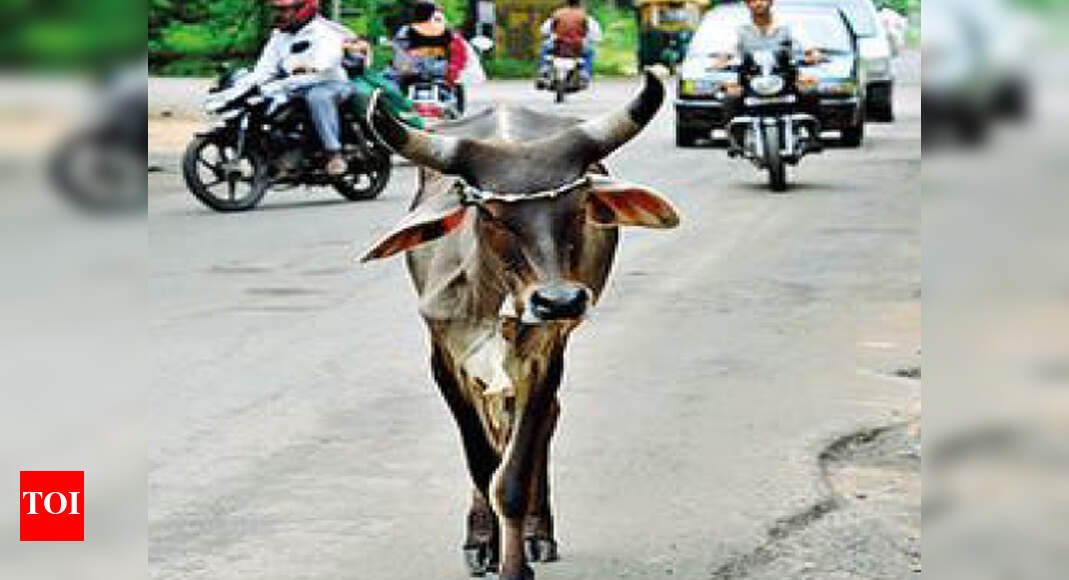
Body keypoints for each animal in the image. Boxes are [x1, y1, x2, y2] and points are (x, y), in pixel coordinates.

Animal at [361, 72, 679, 580]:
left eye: (579, 204)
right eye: (490, 213)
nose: (559, 300)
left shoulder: (544, 356)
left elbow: (512, 474)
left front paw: (516, 564)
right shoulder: (446, 359)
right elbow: (481, 461)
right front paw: (485, 545)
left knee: (542, 427)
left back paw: (538, 532)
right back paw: (480, 538)